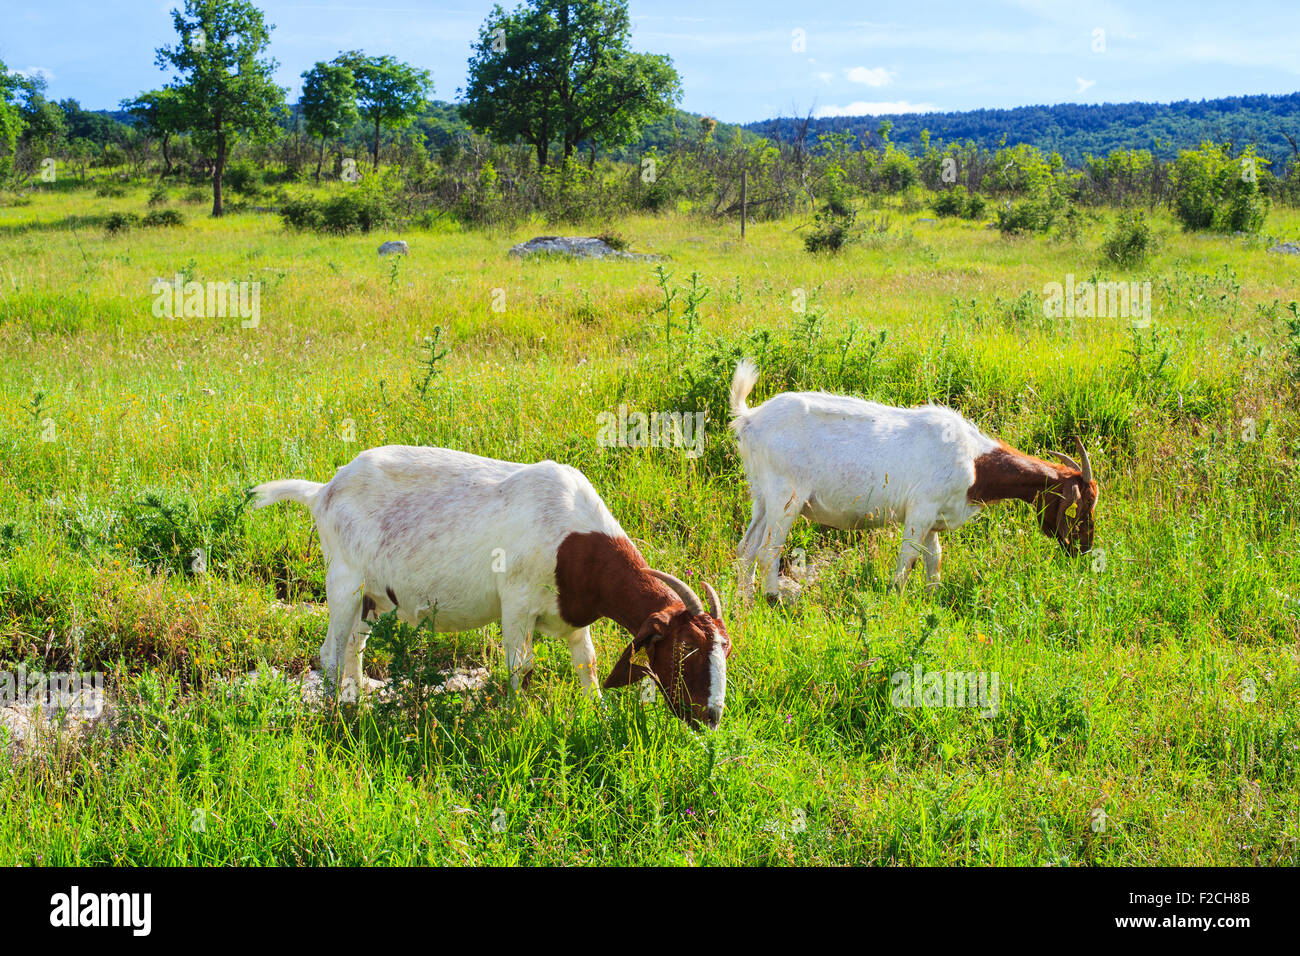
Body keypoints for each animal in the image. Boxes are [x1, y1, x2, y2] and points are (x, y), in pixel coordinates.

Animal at [251, 445, 731, 728]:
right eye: (685, 650)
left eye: (725, 649)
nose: (712, 717)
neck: (576, 542)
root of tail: (323, 490)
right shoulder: (517, 602)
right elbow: (521, 666)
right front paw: (517, 722)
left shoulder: (574, 614)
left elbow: (588, 663)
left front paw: (597, 711)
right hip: (344, 578)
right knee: (330, 653)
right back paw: (336, 716)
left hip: (375, 596)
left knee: (355, 644)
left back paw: (355, 704)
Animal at [729, 360, 1098, 599]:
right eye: (1078, 506)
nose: (1083, 549)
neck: (974, 461)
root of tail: (749, 418)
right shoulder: (921, 510)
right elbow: (908, 557)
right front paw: (896, 598)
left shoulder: (935, 519)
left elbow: (934, 560)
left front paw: (933, 599)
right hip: (786, 496)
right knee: (768, 551)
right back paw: (773, 601)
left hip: (762, 497)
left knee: (747, 549)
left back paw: (745, 602)